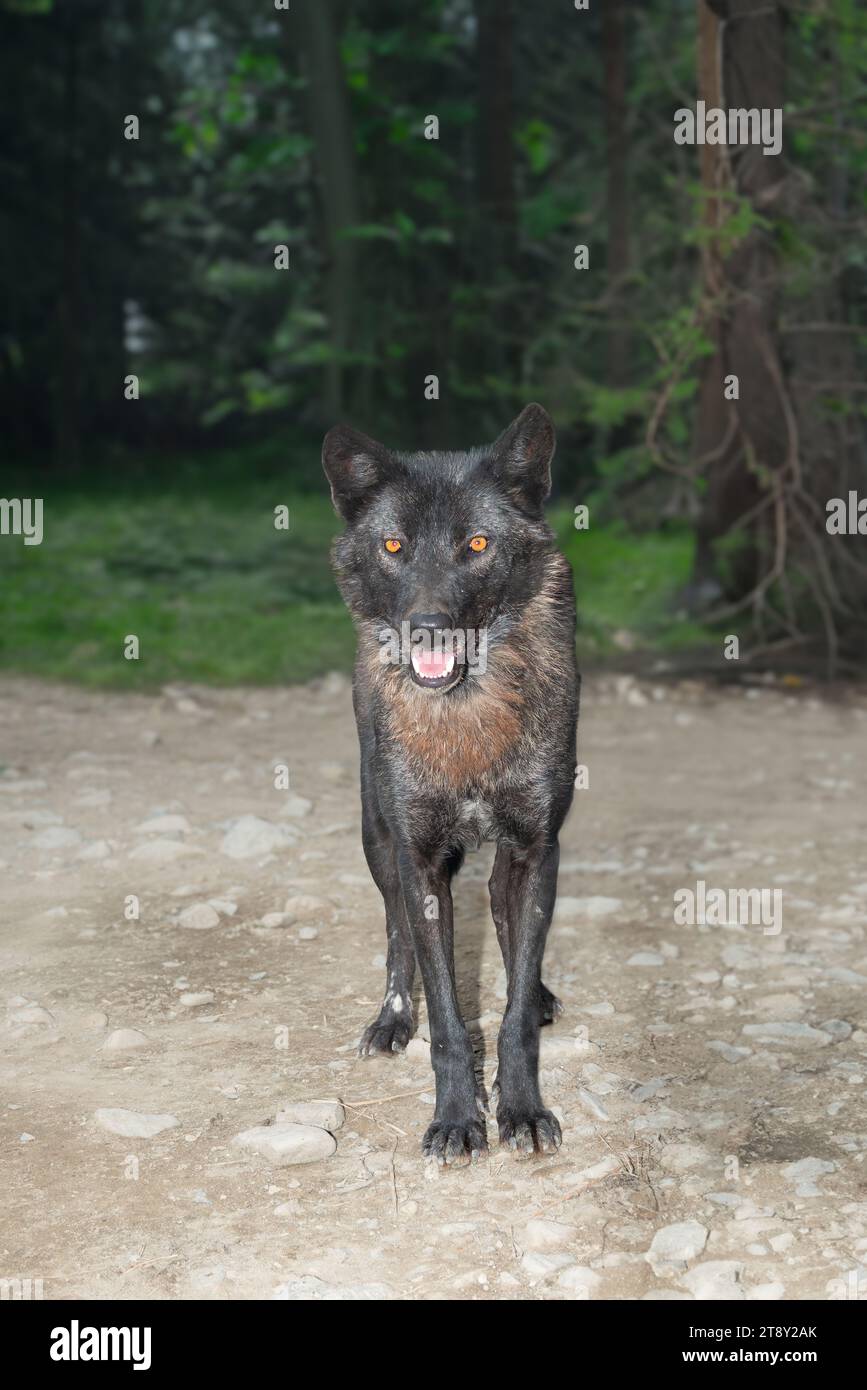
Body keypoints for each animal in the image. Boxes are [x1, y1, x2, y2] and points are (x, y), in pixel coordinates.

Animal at [323, 404, 579, 1165]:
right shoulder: (419, 858)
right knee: (394, 927)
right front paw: (458, 1117)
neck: (465, 715)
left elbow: (514, 1010)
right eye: (394, 545)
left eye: (476, 543)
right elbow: (444, 1011)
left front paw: (521, 1109)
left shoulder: (535, 849)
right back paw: (389, 1019)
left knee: (500, 914)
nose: (428, 628)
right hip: (375, 837)